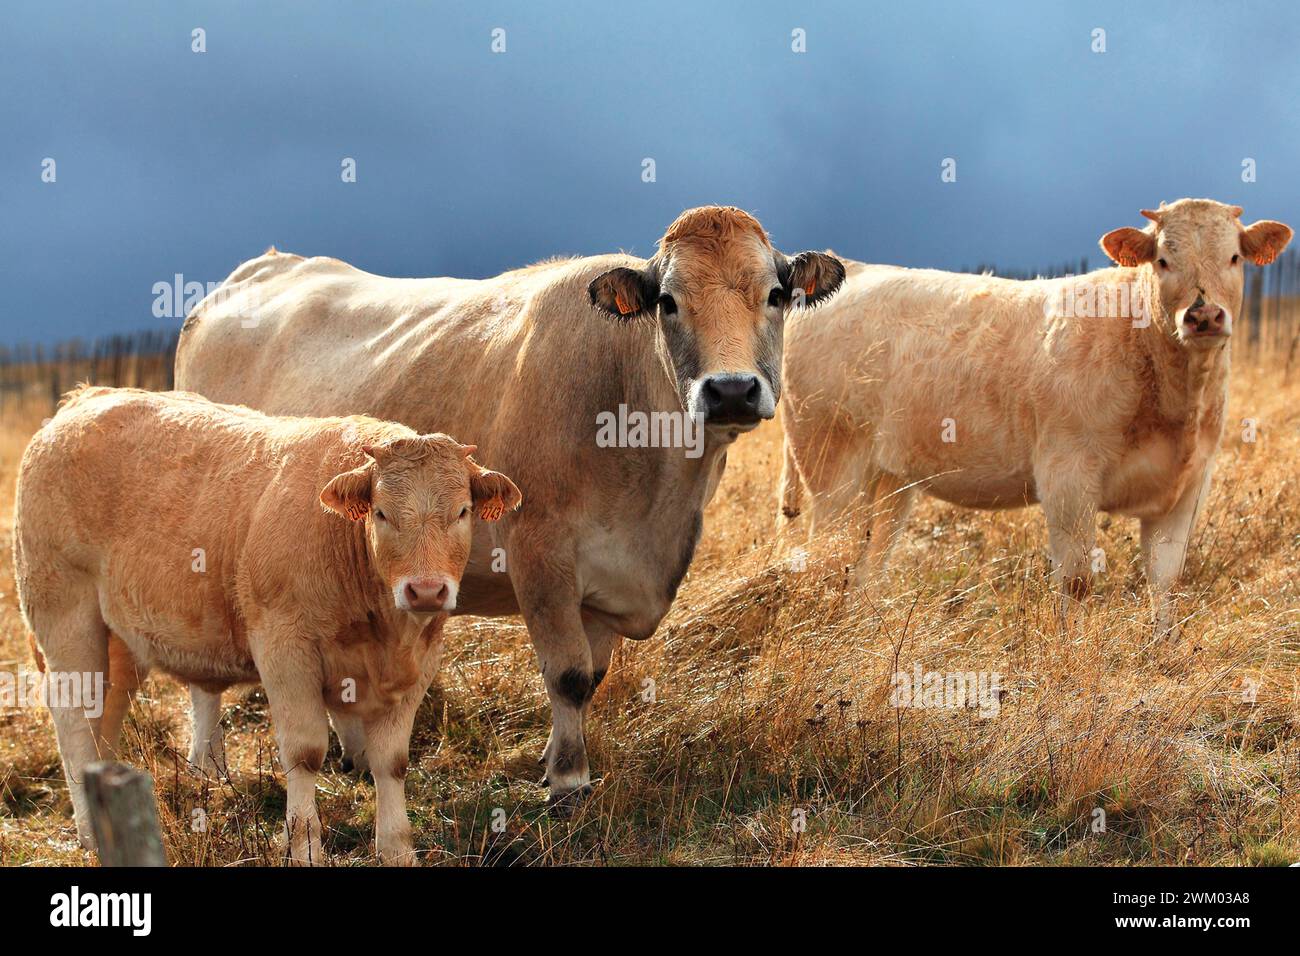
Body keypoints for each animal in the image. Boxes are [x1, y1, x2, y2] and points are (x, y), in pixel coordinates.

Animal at [13, 386, 520, 864]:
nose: (426, 590)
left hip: (120, 637)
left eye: (462, 511)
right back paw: (88, 832)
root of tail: (87, 397)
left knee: (106, 710)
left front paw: (398, 851)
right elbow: (305, 751)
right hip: (65, 616)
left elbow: (391, 761)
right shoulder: (285, 649)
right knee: (74, 715)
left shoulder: (420, 662)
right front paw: (305, 849)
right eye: (382, 513)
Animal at [175, 206, 845, 807]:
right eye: (669, 302)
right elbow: (567, 674)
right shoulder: (540, 554)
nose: (730, 390)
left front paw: (553, 763)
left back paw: (356, 756)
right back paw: (210, 766)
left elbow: (591, 675)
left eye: (776, 295)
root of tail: (263, 266)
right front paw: (569, 783)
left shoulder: (608, 581)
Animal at [778, 199, 1292, 635]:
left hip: (890, 480)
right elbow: (1077, 581)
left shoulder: (1188, 485)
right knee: (828, 558)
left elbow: (1166, 582)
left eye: (1234, 258)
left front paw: (1162, 650)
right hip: (833, 465)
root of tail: (848, 266)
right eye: (1163, 260)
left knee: (867, 565)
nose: (1203, 316)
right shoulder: (1067, 474)